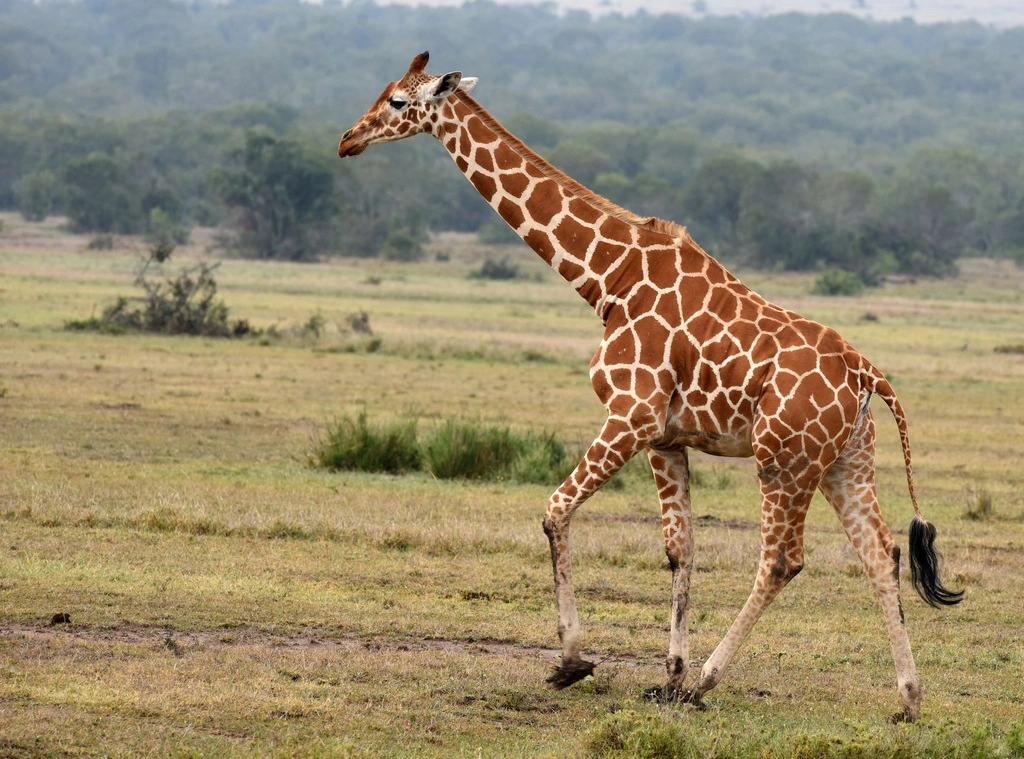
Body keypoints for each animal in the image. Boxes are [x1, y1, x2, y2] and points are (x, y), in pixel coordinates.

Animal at [337, 52, 963, 721]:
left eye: (399, 102)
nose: (348, 139)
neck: (605, 277)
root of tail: (867, 372)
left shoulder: (631, 415)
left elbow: (555, 512)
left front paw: (575, 663)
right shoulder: (666, 437)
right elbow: (679, 550)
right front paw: (665, 674)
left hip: (784, 459)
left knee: (782, 560)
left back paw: (708, 681)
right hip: (846, 459)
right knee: (881, 553)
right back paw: (908, 700)